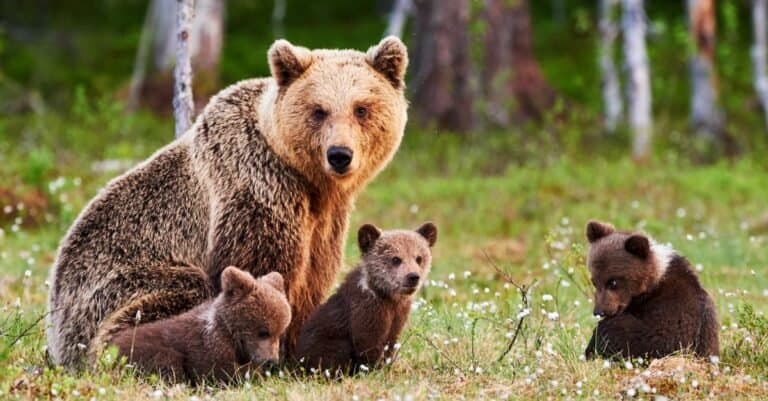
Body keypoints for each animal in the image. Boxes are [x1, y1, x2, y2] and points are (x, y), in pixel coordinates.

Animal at [46, 36, 409, 369]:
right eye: (318, 110)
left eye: (361, 108)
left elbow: (312, 278)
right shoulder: (256, 188)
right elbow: (259, 269)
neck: (307, 181)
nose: (339, 155)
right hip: (115, 288)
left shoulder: (325, 220)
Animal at [294, 222, 437, 373]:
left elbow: (390, 343)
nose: (413, 277)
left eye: (419, 258)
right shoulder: (366, 311)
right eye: (396, 259)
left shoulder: (398, 315)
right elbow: (367, 345)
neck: (388, 297)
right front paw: (373, 370)